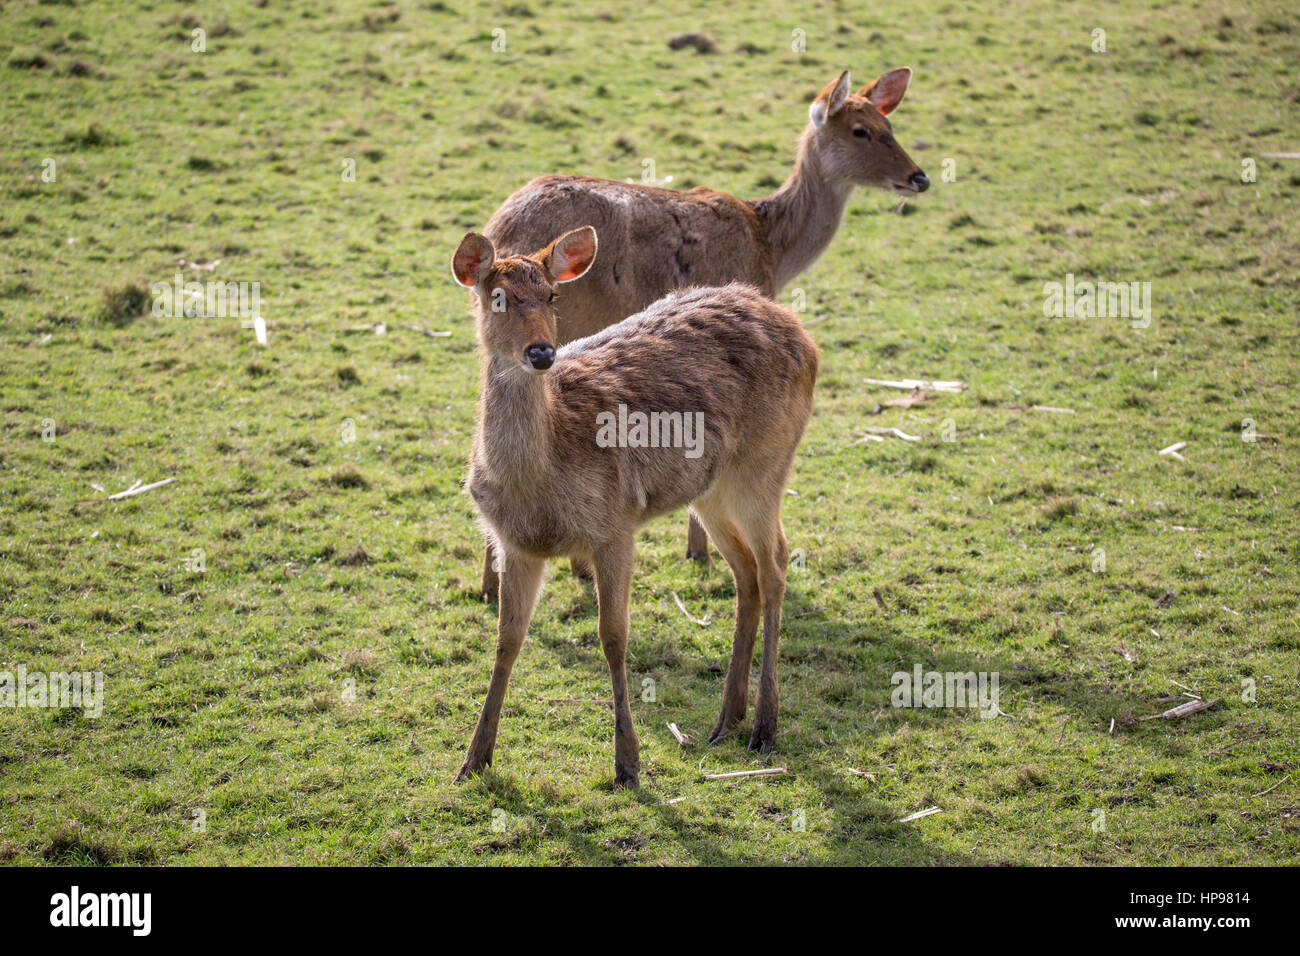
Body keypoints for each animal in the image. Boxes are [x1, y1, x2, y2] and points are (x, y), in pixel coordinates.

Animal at [450, 226, 819, 788]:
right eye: (497, 296)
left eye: (552, 296)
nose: (541, 352)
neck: (537, 482)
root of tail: (802, 334)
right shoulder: (515, 542)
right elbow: (507, 638)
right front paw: (473, 760)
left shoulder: (615, 523)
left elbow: (613, 635)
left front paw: (628, 764)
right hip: (710, 490)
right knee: (747, 573)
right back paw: (725, 720)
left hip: (765, 464)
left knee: (776, 562)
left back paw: (764, 727)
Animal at [474, 67, 926, 601]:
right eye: (861, 131)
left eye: (889, 123)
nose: (919, 177)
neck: (772, 251)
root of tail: (501, 227)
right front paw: (697, 550)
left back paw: (493, 581)